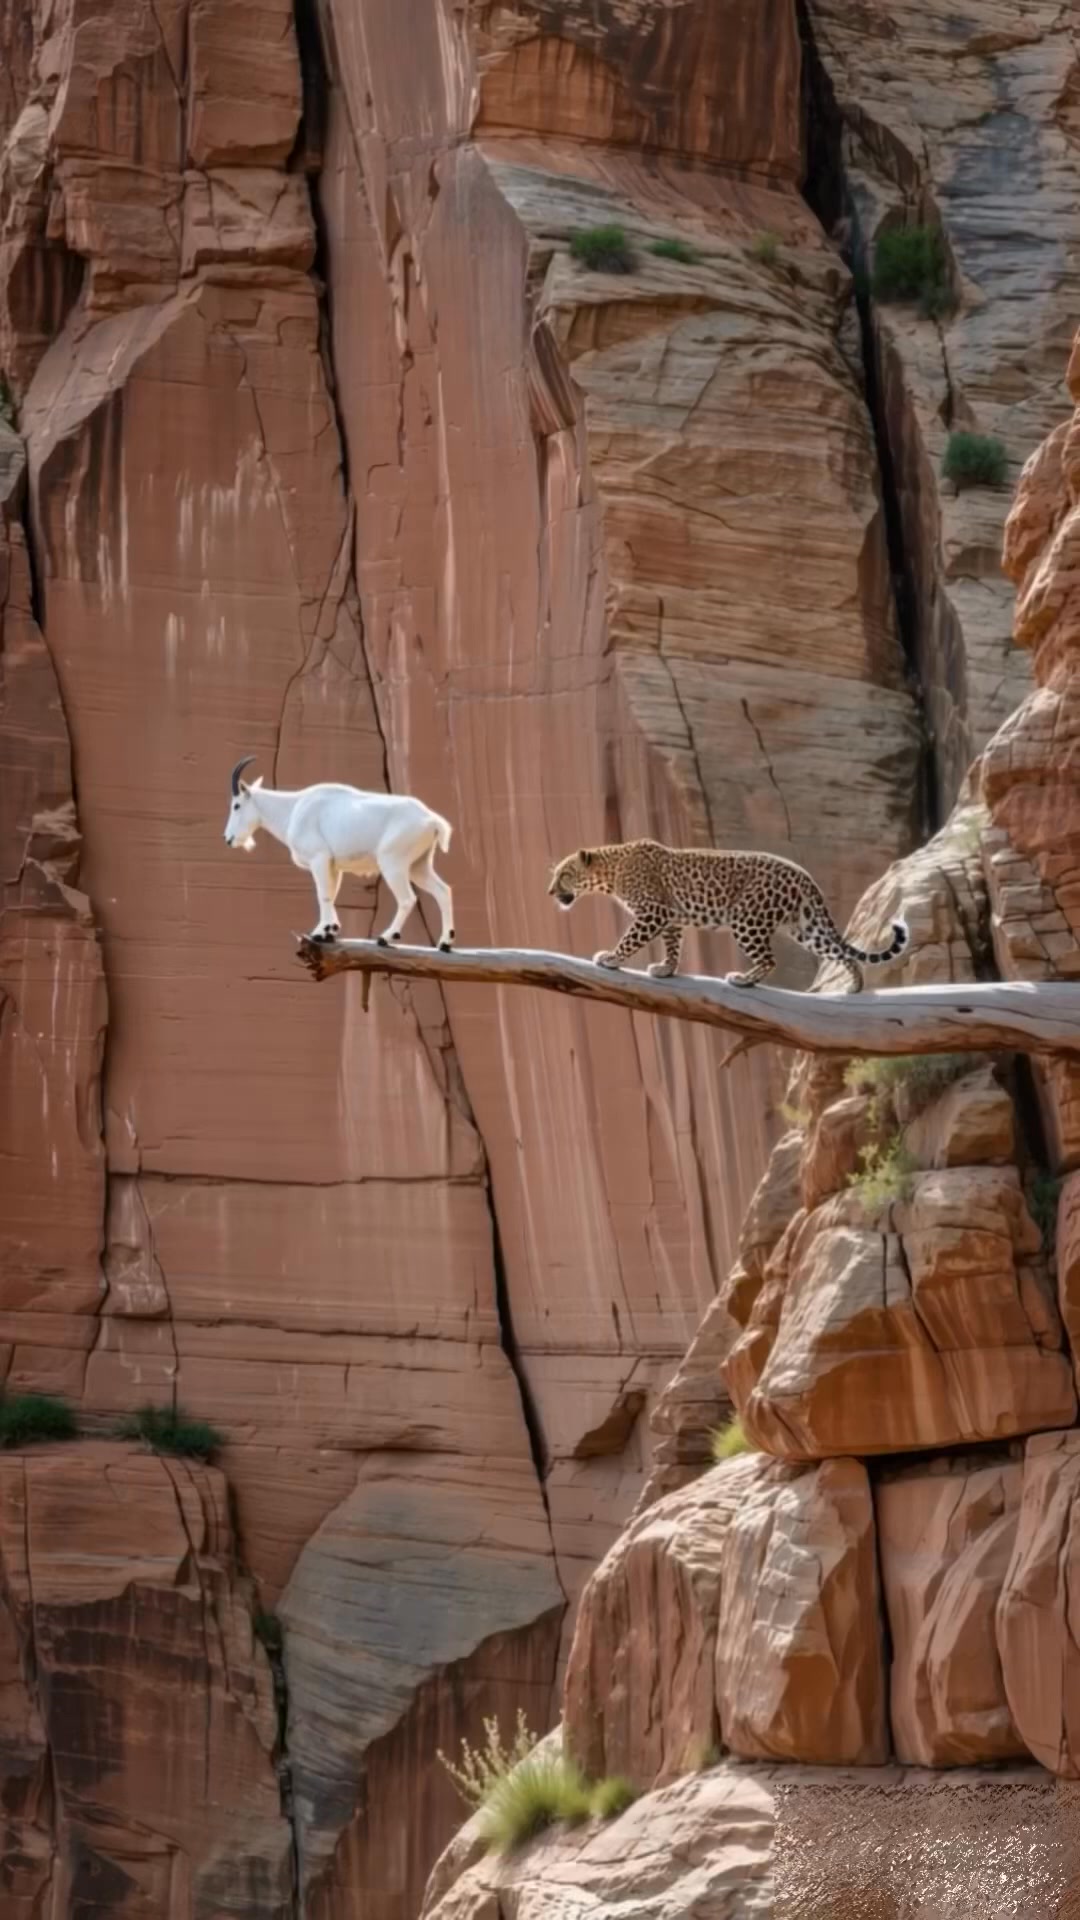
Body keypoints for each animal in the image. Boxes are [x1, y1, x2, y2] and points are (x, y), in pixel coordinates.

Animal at [223, 757, 455, 948]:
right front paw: (330, 931)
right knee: (443, 891)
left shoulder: (319, 859)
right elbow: (332, 895)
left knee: (407, 899)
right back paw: (445, 943)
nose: (228, 838)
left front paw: (320, 933)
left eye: (236, 805)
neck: (295, 808)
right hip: (418, 866)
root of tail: (432, 820)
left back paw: (385, 937)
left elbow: (323, 894)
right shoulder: (333, 866)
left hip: (393, 865)